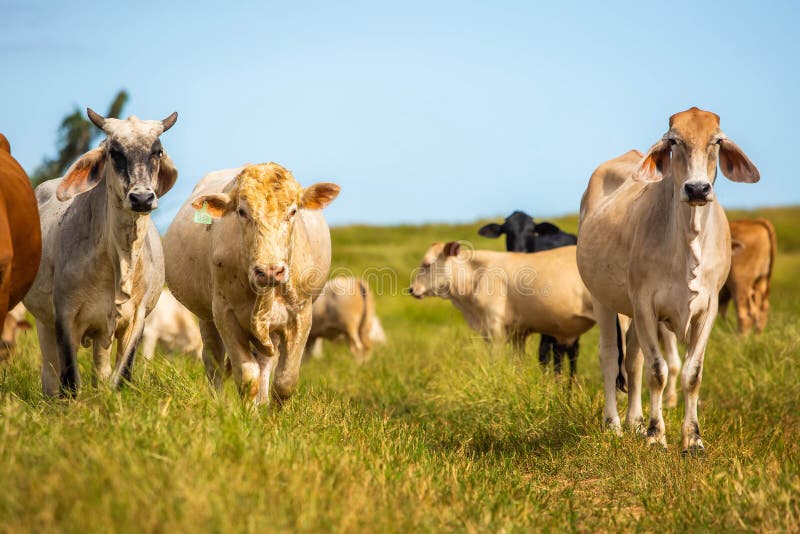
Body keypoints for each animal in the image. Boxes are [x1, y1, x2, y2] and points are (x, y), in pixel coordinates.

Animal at [24, 108, 179, 396]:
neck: (119, 260)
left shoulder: (137, 317)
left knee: (101, 369)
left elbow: (122, 375)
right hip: (44, 321)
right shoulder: (64, 315)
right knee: (49, 373)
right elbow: (70, 380)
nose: (142, 198)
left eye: (158, 151)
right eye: (114, 152)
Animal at [163, 163, 339, 406]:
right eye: (242, 211)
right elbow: (247, 377)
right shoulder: (225, 314)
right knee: (213, 361)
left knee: (264, 362)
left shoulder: (301, 315)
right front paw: (247, 413)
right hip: (206, 316)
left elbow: (285, 381)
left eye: (293, 211)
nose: (269, 271)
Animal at [409, 242, 595, 370]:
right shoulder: (518, 332)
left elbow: (496, 362)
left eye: (427, 264)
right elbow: (518, 363)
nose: (411, 289)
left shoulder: (494, 328)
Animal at [478, 211, 580, 374]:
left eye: (532, 231)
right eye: (507, 231)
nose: (519, 252)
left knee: (570, 350)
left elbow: (544, 352)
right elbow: (518, 353)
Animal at [577, 107, 759, 454]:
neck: (688, 241)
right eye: (674, 141)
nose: (697, 189)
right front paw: (655, 435)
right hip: (602, 298)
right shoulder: (645, 304)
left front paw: (692, 439)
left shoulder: (708, 308)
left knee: (632, 359)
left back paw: (634, 422)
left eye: (717, 141)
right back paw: (614, 425)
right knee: (610, 356)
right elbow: (657, 370)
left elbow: (691, 373)